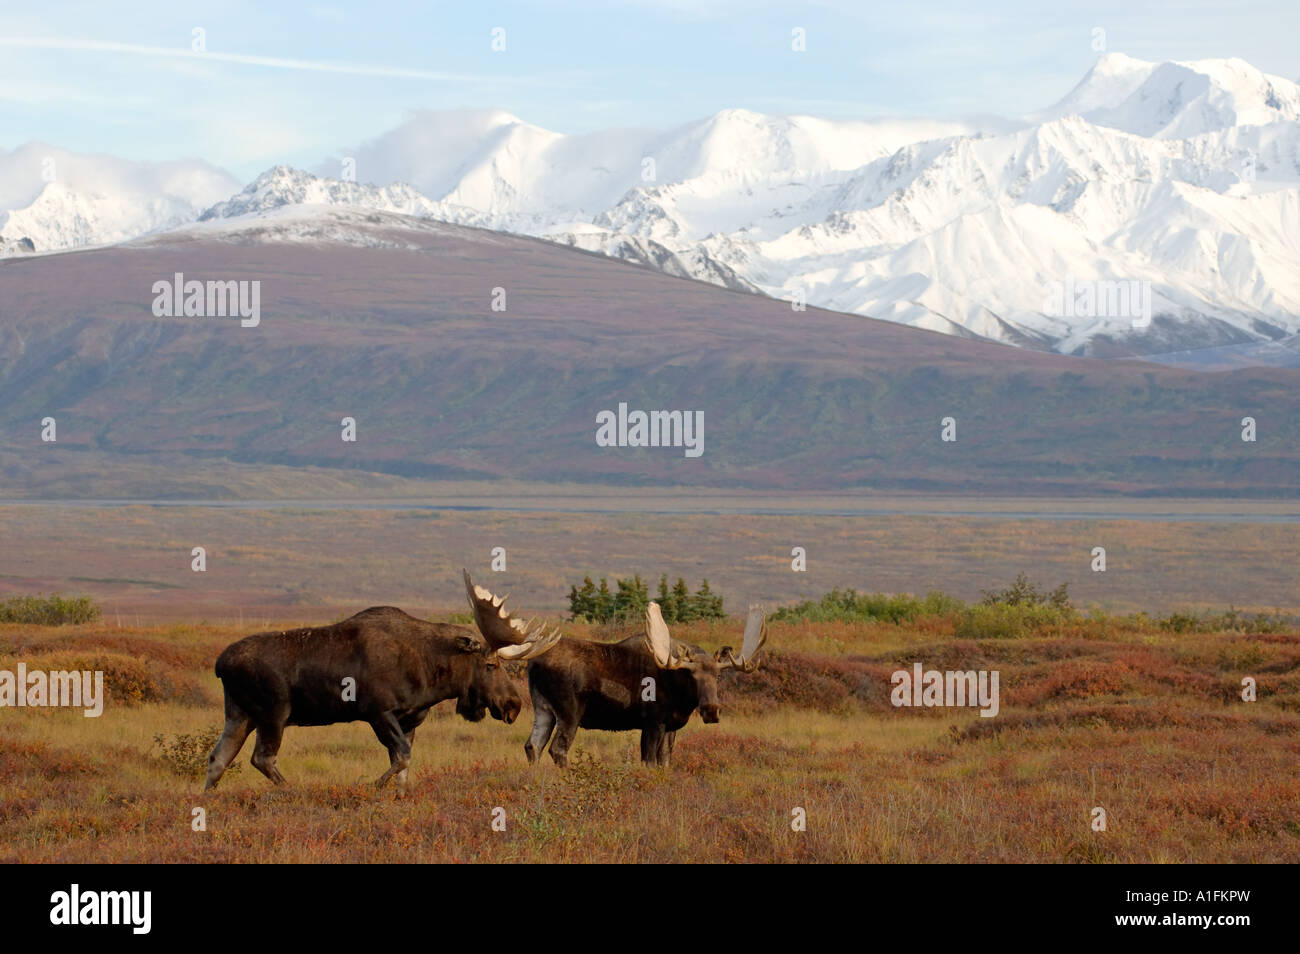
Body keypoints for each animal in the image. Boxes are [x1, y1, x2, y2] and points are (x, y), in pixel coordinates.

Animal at [204, 599, 560, 791]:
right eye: (490, 664)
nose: (513, 704)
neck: (430, 668)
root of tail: (221, 665)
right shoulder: (378, 712)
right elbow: (401, 757)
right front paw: (371, 787)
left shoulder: (410, 719)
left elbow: (403, 766)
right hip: (273, 714)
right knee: (261, 757)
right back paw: (292, 791)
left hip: (240, 715)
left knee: (218, 758)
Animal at [464, 577, 767, 768]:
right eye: (692, 676)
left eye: (718, 675)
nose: (712, 710)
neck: (680, 696)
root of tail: (533, 662)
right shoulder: (653, 722)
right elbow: (650, 762)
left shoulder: (670, 726)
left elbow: (665, 762)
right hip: (569, 712)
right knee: (557, 749)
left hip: (542, 709)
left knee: (532, 746)